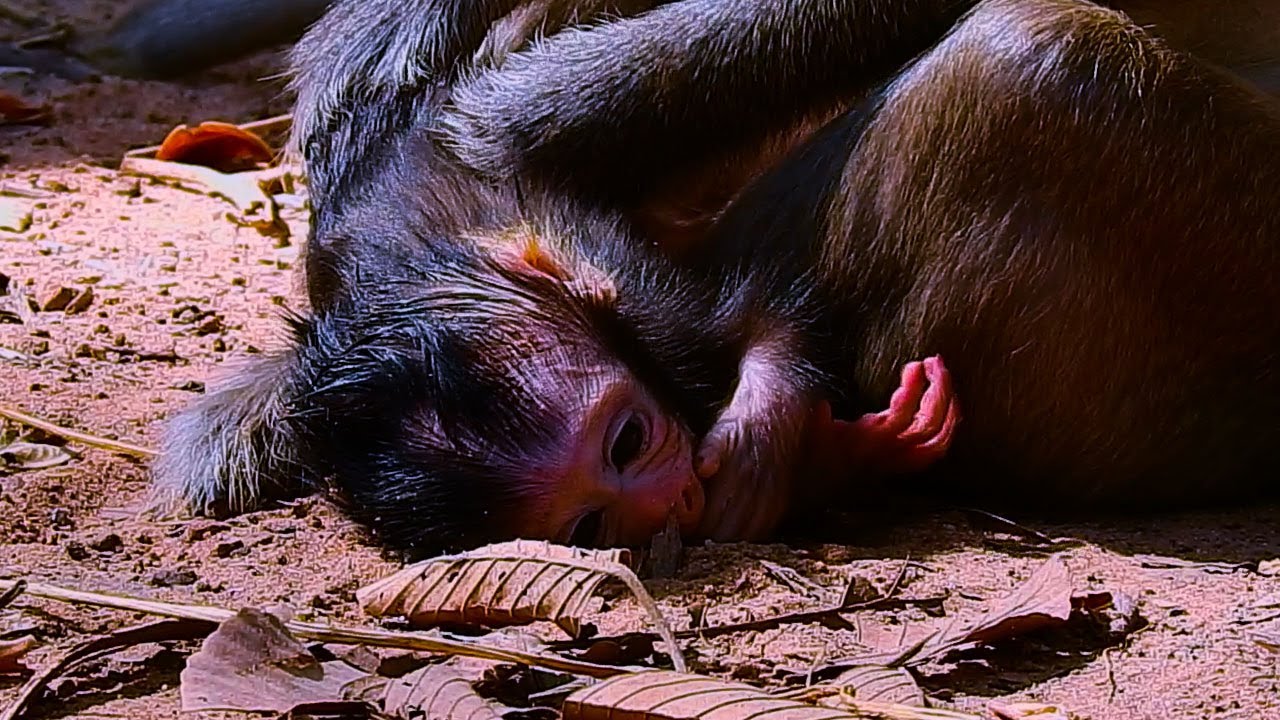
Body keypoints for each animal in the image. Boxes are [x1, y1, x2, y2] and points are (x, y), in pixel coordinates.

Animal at [152, 0, 959, 554]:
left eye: (628, 441)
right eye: (590, 526)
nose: (673, 500)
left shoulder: (628, 288)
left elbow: (759, 322)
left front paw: (763, 435)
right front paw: (835, 455)